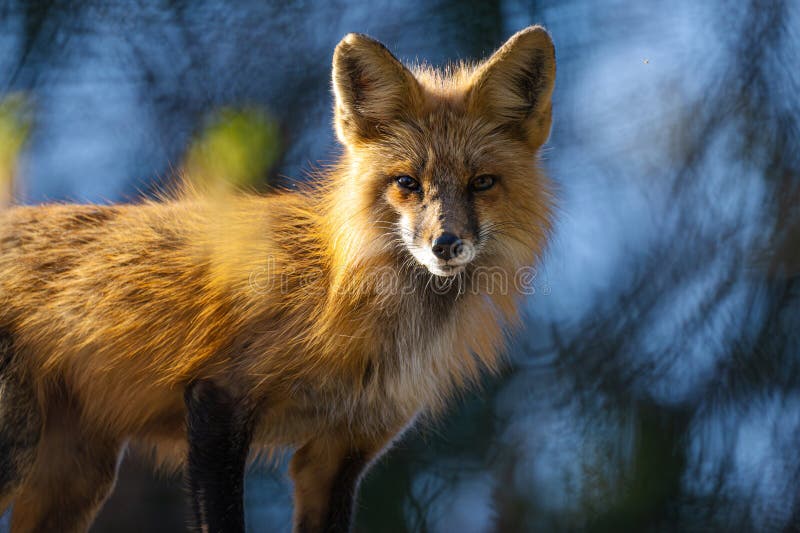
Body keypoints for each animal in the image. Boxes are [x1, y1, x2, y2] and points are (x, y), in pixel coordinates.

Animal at [0, 26, 555, 533]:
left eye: (481, 183)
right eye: (407, 183)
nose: (445, 244)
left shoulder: (338, 452)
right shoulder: (218, 401)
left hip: (76, 480)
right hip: (22, 452)